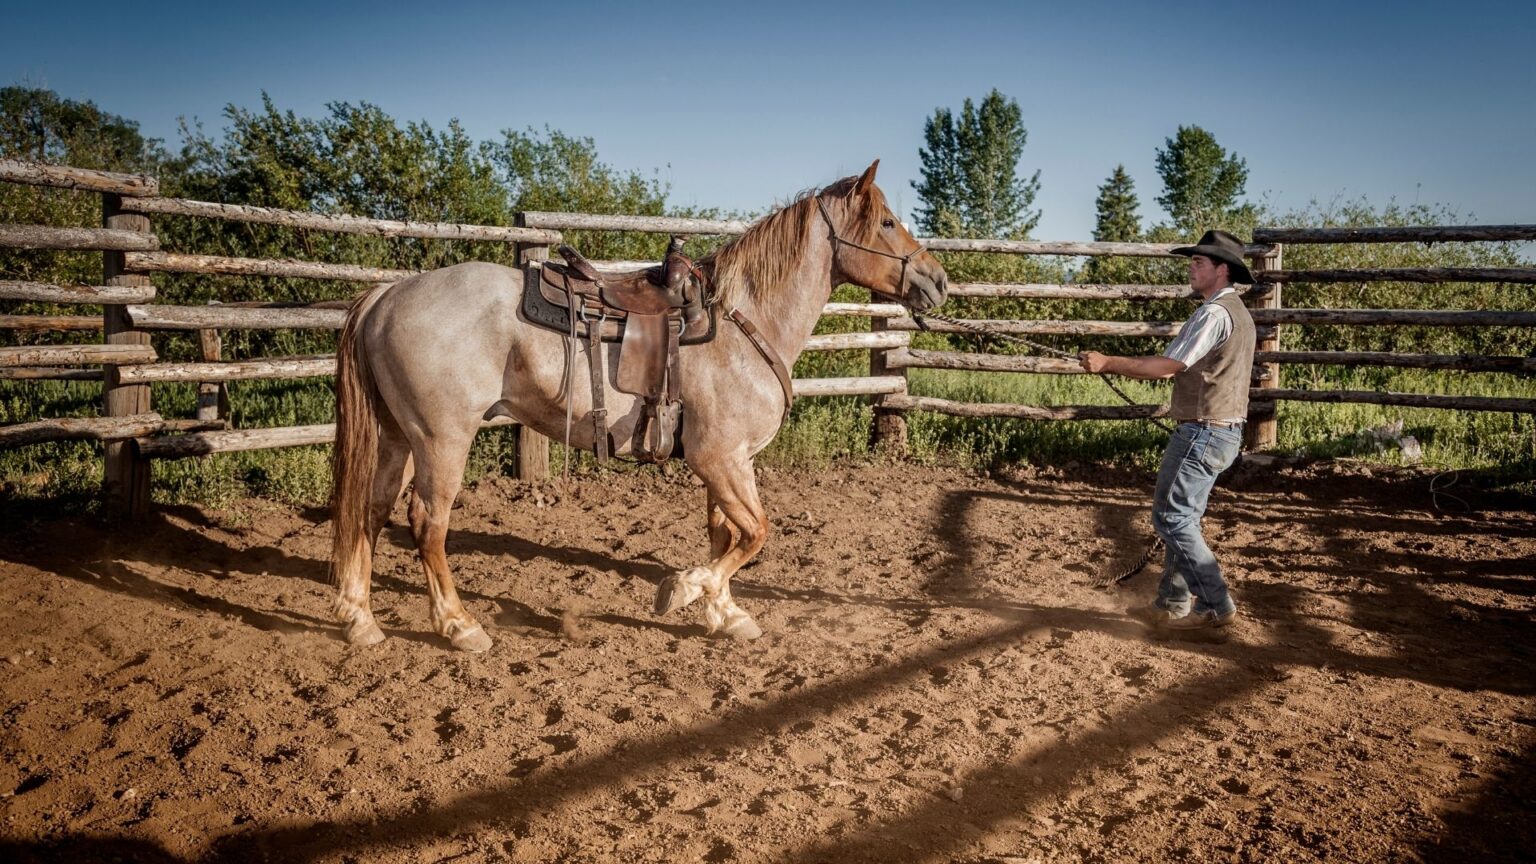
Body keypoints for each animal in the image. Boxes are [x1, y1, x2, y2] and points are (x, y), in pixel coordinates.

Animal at [328, 160, 948, 651]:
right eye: (887, 223)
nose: (937, 281)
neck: (742, 322)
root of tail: (387, 295)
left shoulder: (729, 461)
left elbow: (726, 534)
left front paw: (725, 613)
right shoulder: (719, 458)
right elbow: (755, 533)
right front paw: (684, 590)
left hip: (397, 437)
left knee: (371, 510)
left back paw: (360, 620)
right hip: (442, 440)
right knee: (426, 523)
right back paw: (459, 626)